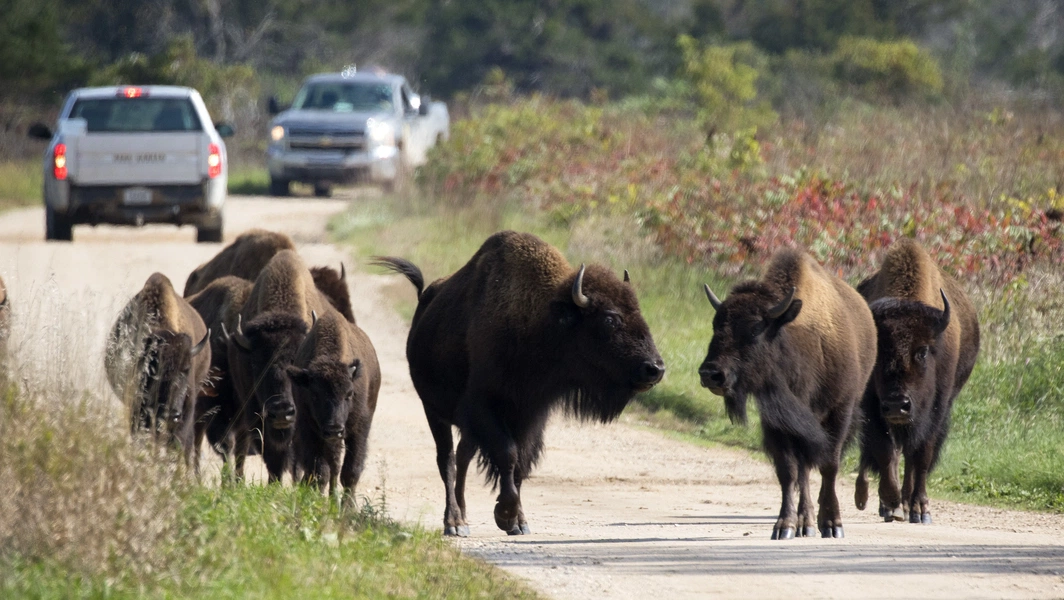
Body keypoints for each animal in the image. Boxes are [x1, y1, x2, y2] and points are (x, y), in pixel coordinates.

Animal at [373, 231, 665, 536]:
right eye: (609, 318)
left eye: (638, 311)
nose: (655, 369)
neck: (543, 320)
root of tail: (424, 300)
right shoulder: (485, 408)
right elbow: (508, 455)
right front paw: (505, 514)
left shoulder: (531, 415)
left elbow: (521, 465)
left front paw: (519, 522)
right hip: (434, 411)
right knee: (448, 461)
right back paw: (454, 523)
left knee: (463, 456)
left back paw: (464, 516)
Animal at [700, 249, 876, 539]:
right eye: (716, 325)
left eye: (755, 328)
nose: (711, 374)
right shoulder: (778, 423)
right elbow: (789, 472)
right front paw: (785, 526)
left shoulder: (839, 413)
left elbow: (829, 466)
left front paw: (833, 524)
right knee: (802, 472)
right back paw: (806, 521)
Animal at [854, 239, 980, 524]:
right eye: (879, 351)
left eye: (922, 351)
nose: (897, 405)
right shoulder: (873, 407)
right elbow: (885, 451)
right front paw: (891, 504)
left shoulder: (936, 409)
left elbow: (921, 456)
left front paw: (920, 509)